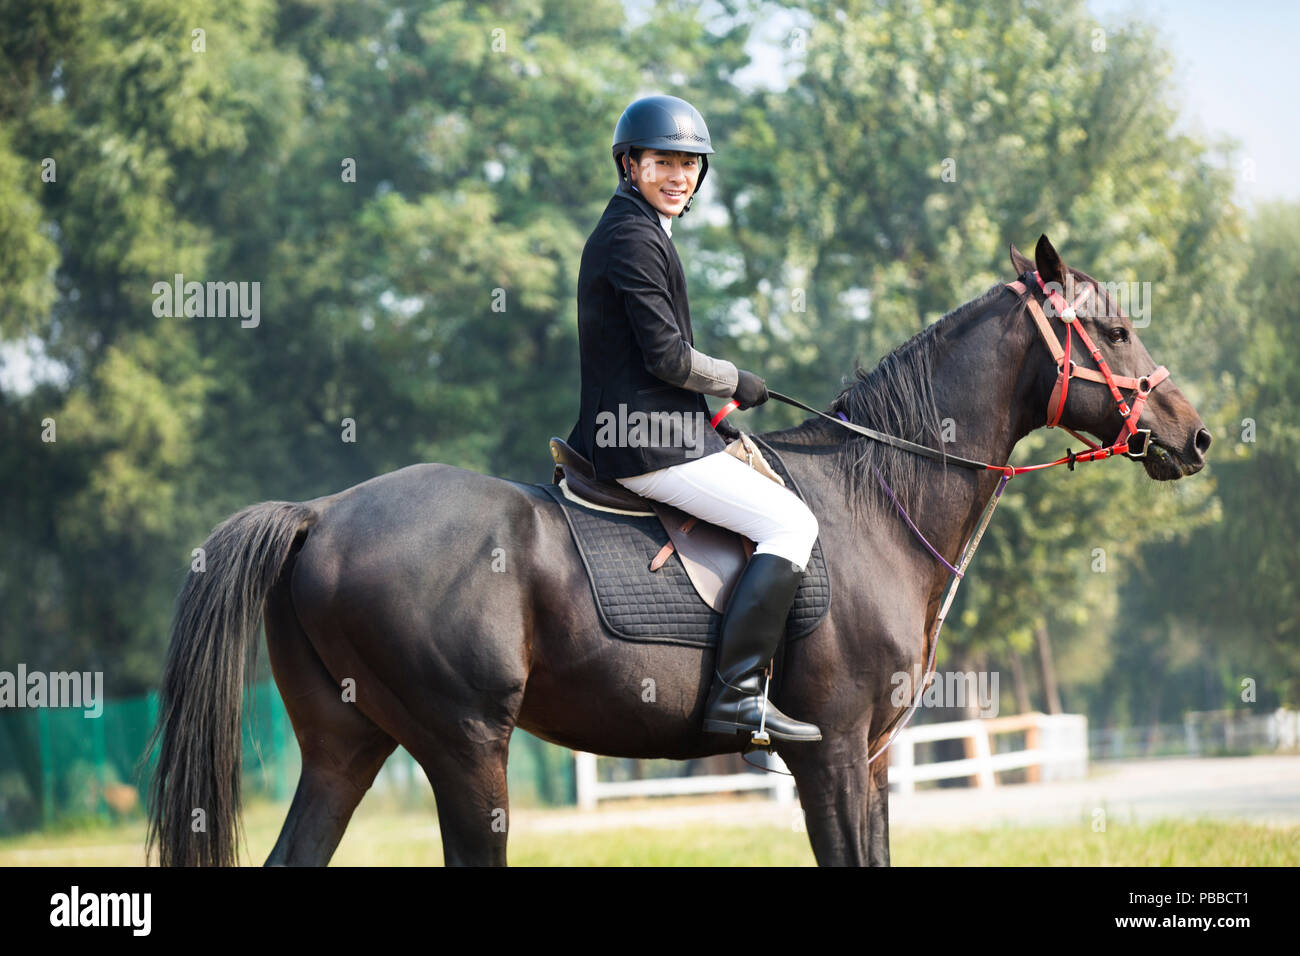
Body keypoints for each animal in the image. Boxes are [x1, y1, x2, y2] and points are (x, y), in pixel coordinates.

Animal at [145, 235, 1211, 866]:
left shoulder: (869, 761)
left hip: (346, 744)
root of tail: (322, 514)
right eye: (1116, 328)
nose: (1194, 435)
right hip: (465, 746)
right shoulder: (828, 755)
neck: (876, 499)